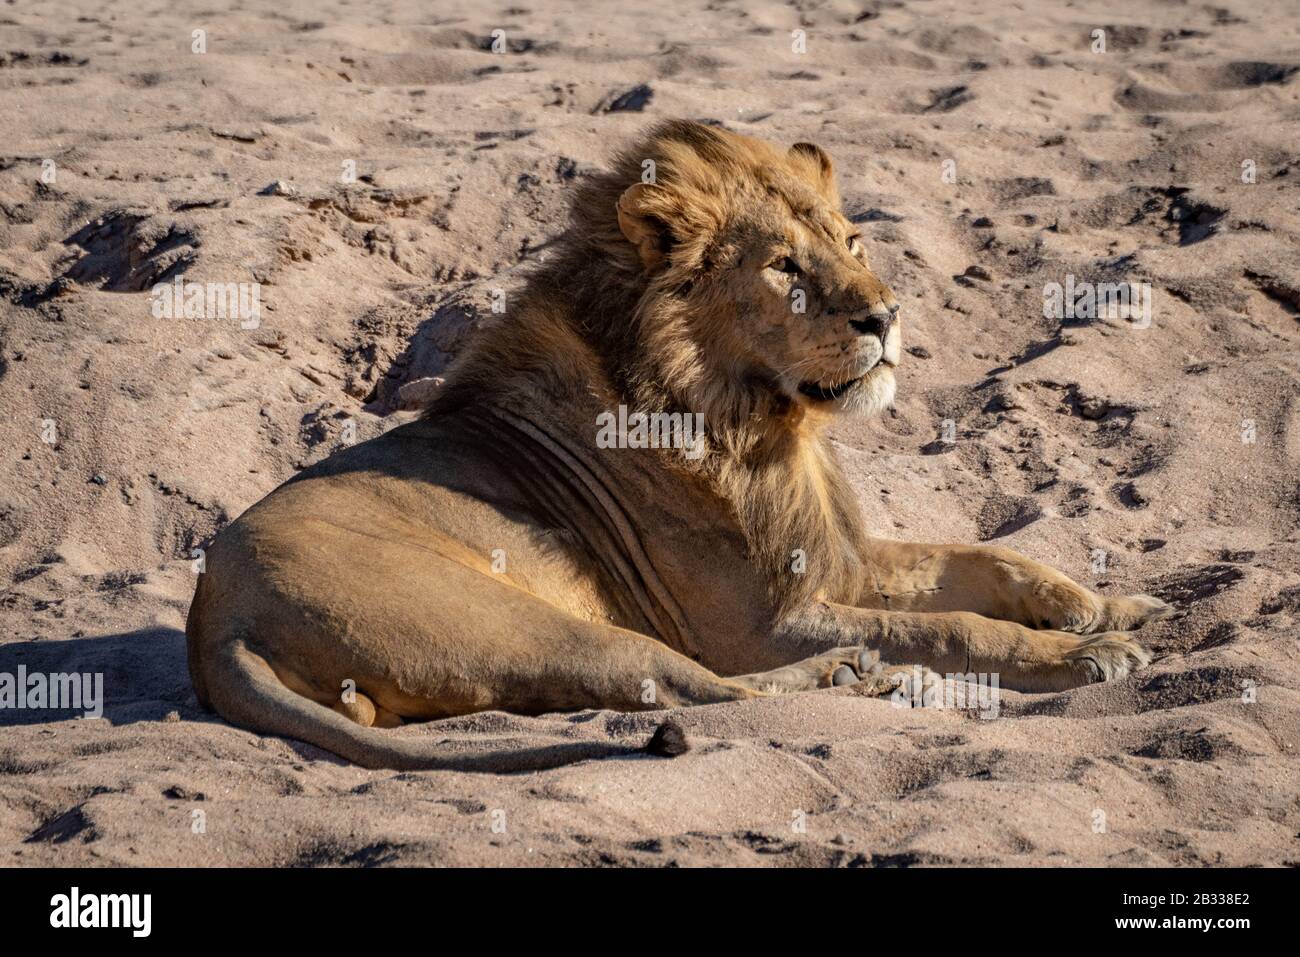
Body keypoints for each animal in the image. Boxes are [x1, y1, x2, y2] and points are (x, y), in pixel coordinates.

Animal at [186, 120, 1171, 771]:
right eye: (783, 265)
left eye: (853, 241)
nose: (886, 316)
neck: (766, 424)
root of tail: (213, 618)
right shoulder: (758, 622)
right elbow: (949, 626)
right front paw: (1087, 655)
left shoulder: (833, 558)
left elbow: (983, 560)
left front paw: (1112, 606)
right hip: (538, 623)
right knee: (697, 688)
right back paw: (854, 677)